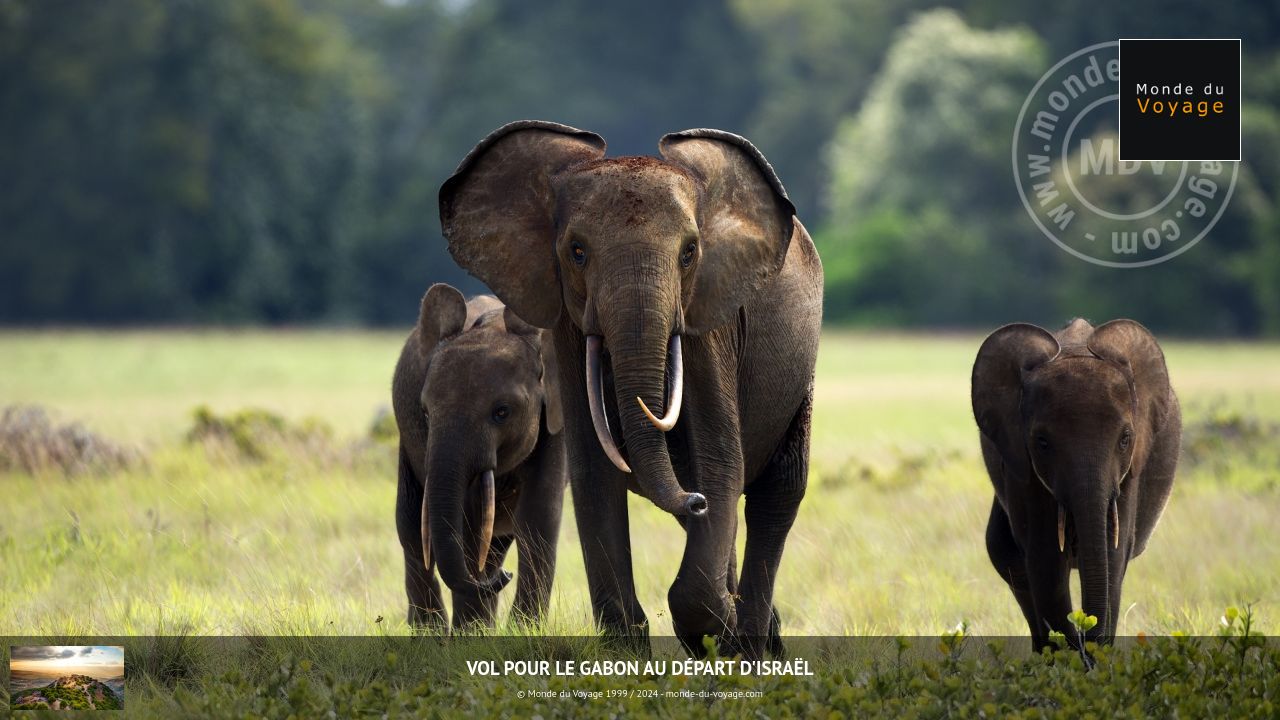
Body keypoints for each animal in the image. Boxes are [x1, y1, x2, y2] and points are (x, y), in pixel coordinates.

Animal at [389, 280, 565, 627]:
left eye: (502, 412)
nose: (505, 577)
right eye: (426, 413)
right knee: (411, 522)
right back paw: (430, 629)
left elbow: (538, 514)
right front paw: (472, 631)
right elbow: (466, 520)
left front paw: (523, 629)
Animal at [437, 119, 819, 655]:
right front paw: (631, 652)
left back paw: (750, 646)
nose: (695, 500)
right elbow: (594, 469)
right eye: (577, 252)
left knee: (777, 493)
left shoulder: (709, 320)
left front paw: (715, 630)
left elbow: (719, 458)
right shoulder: (566, 324)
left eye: (689, 253)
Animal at [972, 317, 1182, 645]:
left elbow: (1112, 555)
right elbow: (1045, 559)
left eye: (1125, 439)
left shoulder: (1130, 473)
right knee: (1008, 559)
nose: (1086, 636)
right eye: (1042, 443)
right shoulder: (1023, 468)